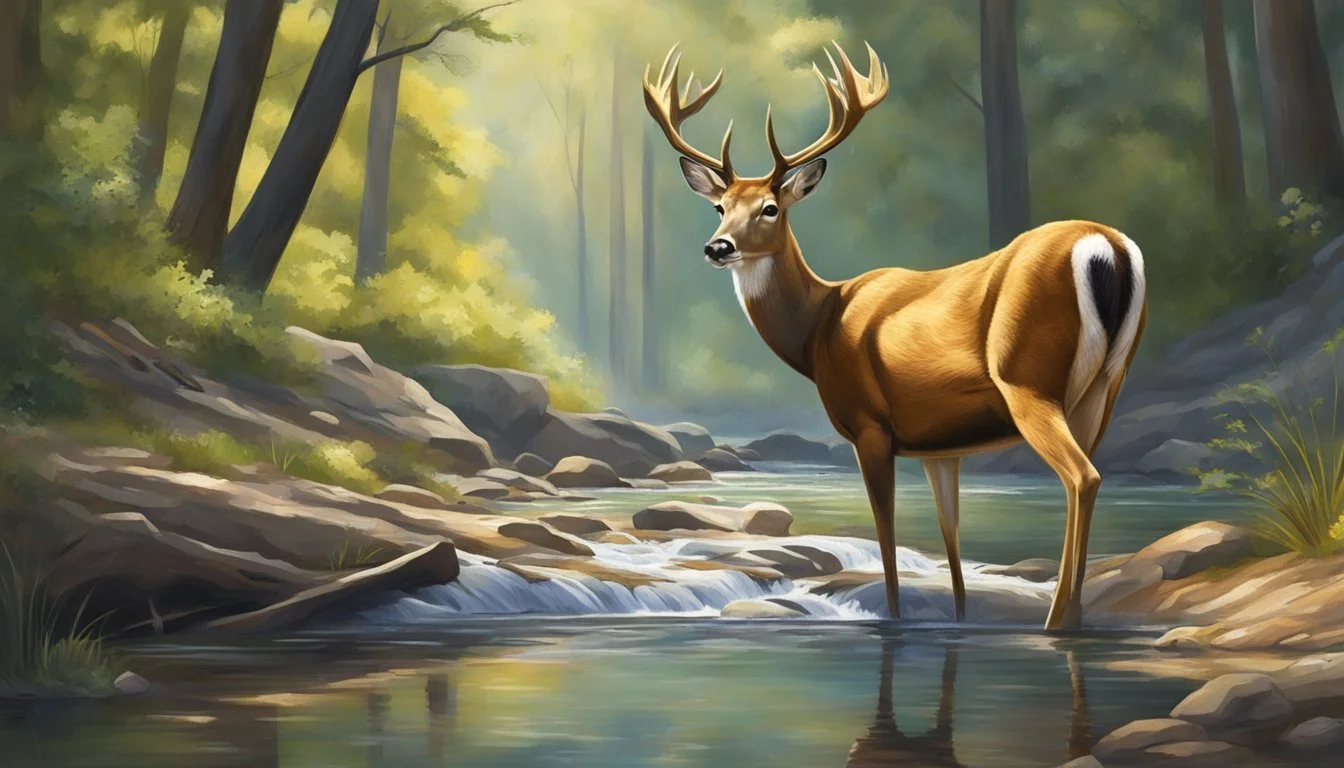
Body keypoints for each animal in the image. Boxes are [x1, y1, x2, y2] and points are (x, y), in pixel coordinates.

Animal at [643, 42, 1146, 632]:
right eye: (719, 207)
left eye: (770, 208)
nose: (717, 247)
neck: (818, 327)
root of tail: (1109, 246)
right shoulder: (940, 447)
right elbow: (952, 551)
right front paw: (958, 620)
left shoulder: (870, 425)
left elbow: (886, 547)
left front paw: (896, 621)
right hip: (1104, 386)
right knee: (1089, 475)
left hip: (1028, 381)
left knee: (1081, 478)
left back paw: (1055, 621)